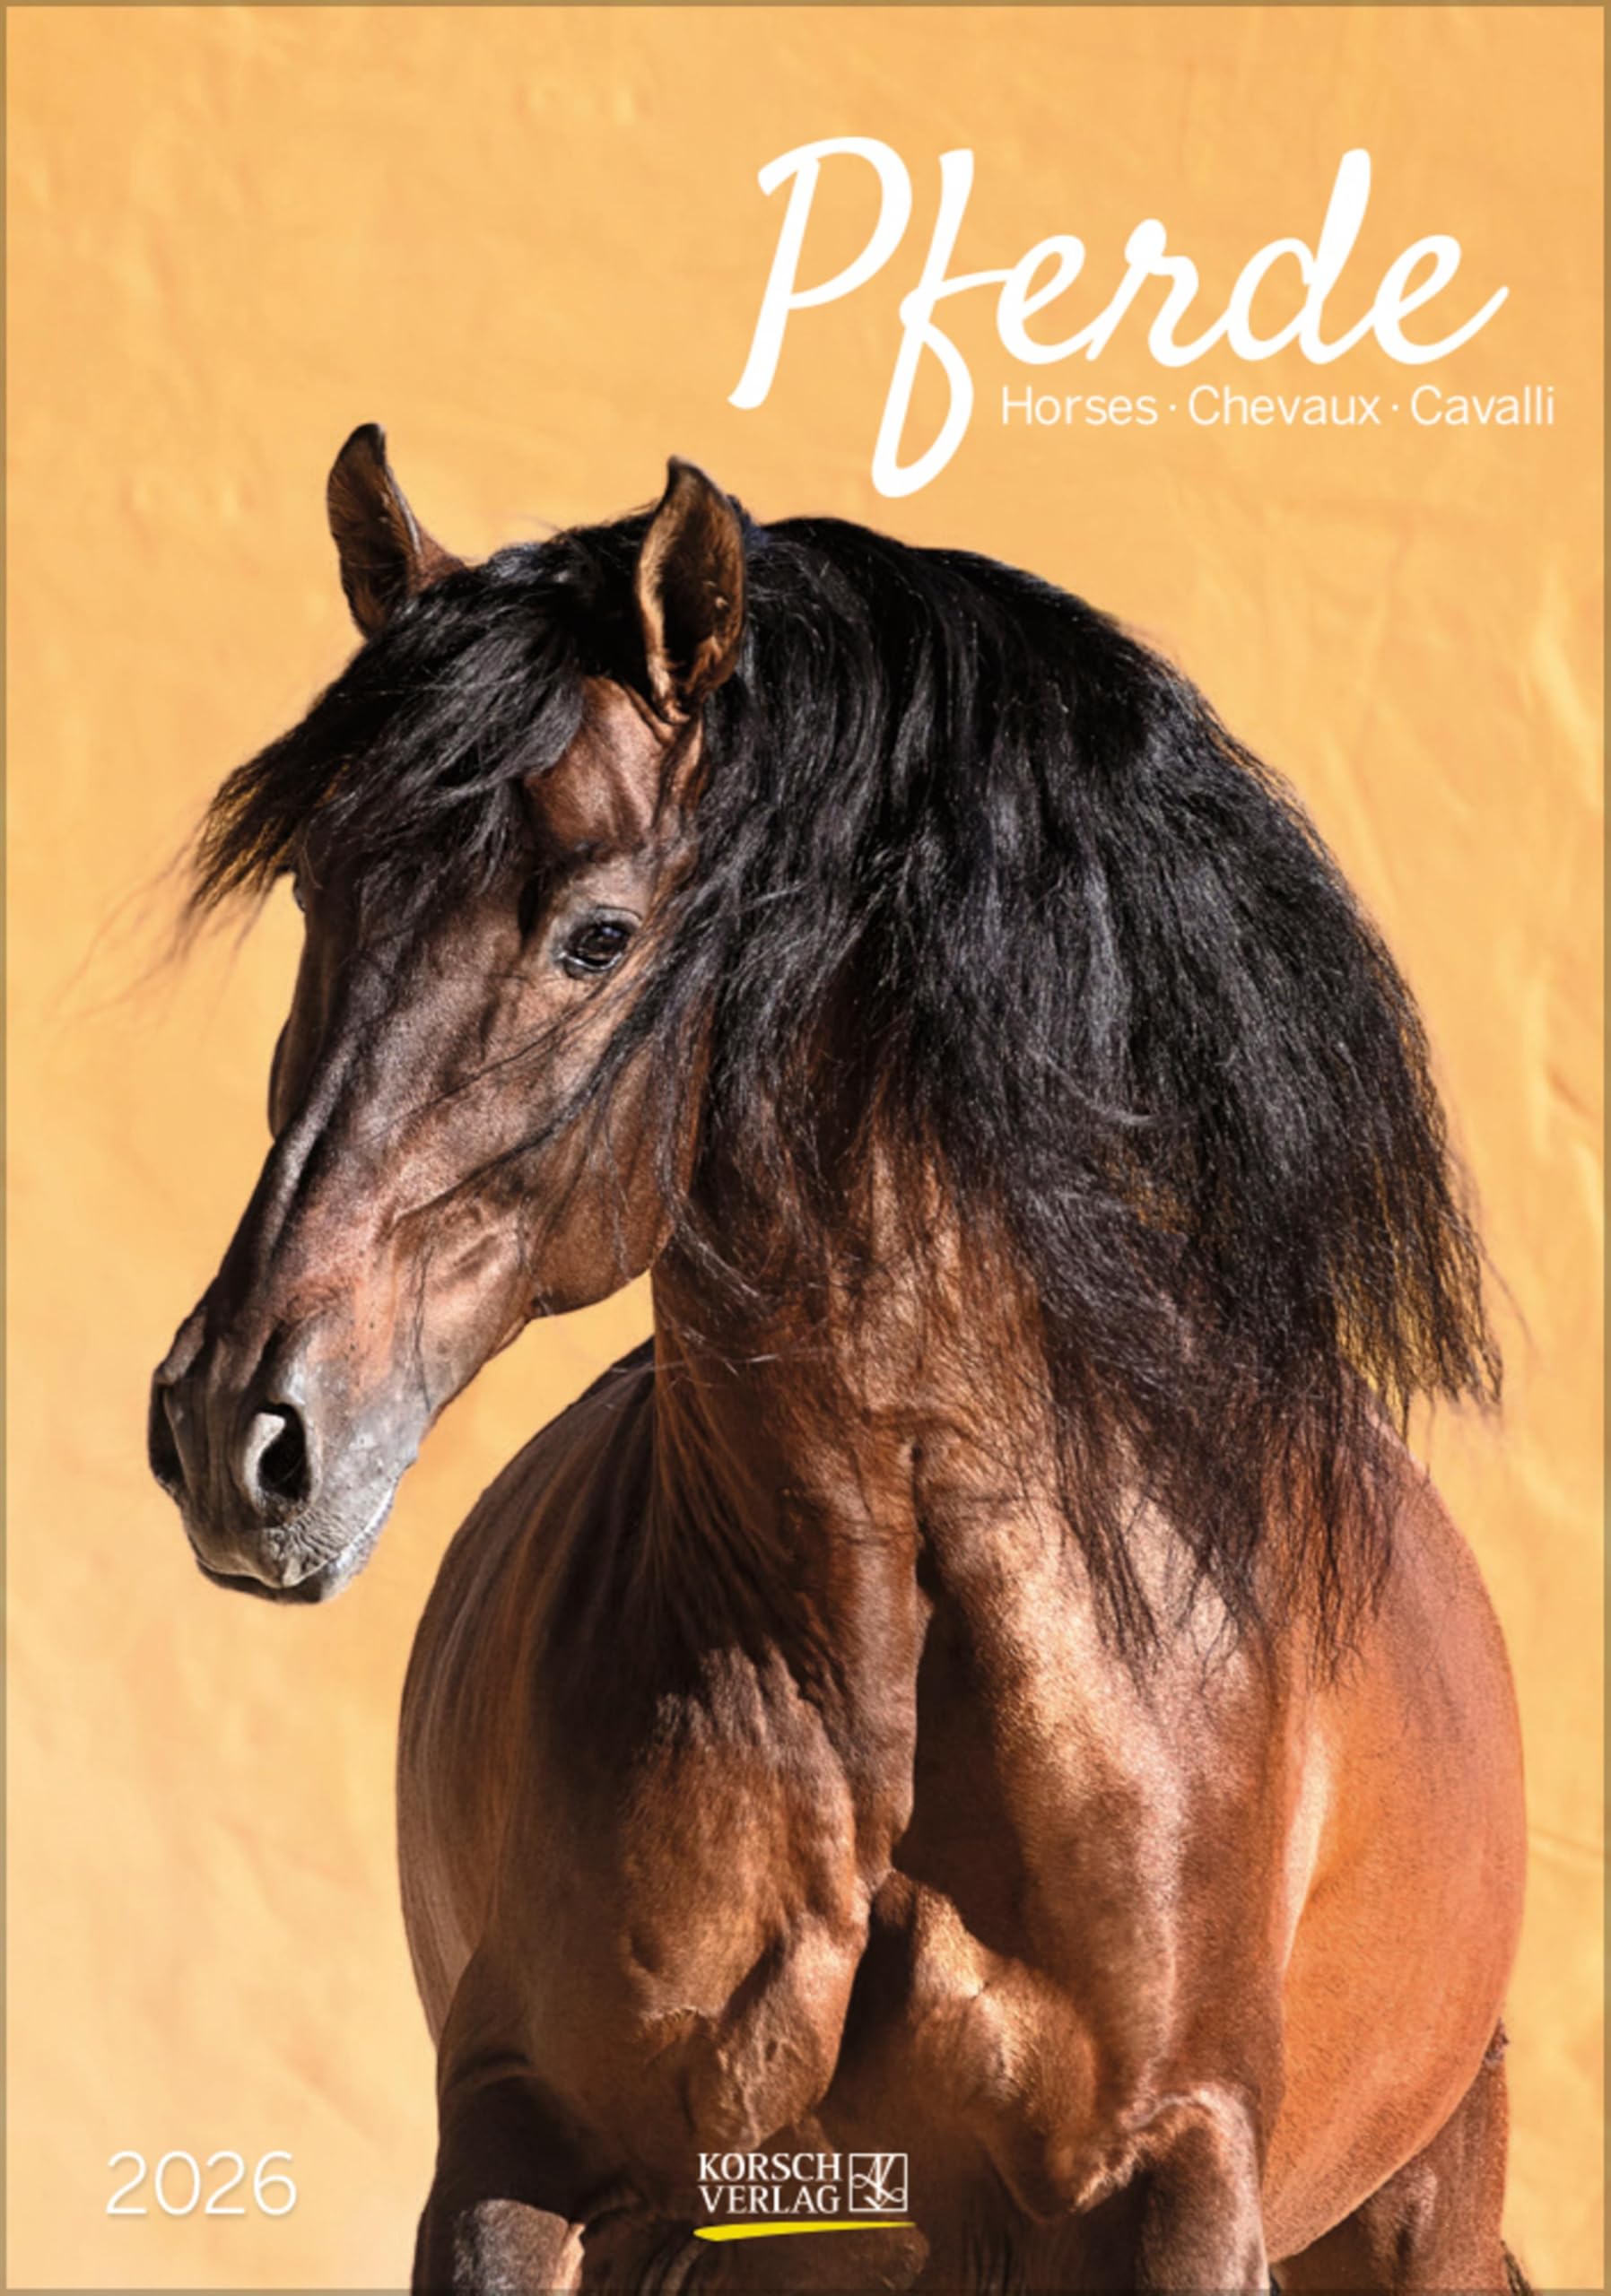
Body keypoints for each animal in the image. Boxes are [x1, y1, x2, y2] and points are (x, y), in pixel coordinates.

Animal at [148, 427, 1529, 2293]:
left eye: (597, 935)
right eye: (316, 890)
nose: (241, 1428)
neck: (890, 1651)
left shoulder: (1178, 2179)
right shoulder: (526, 2152)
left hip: (1415, 2212)